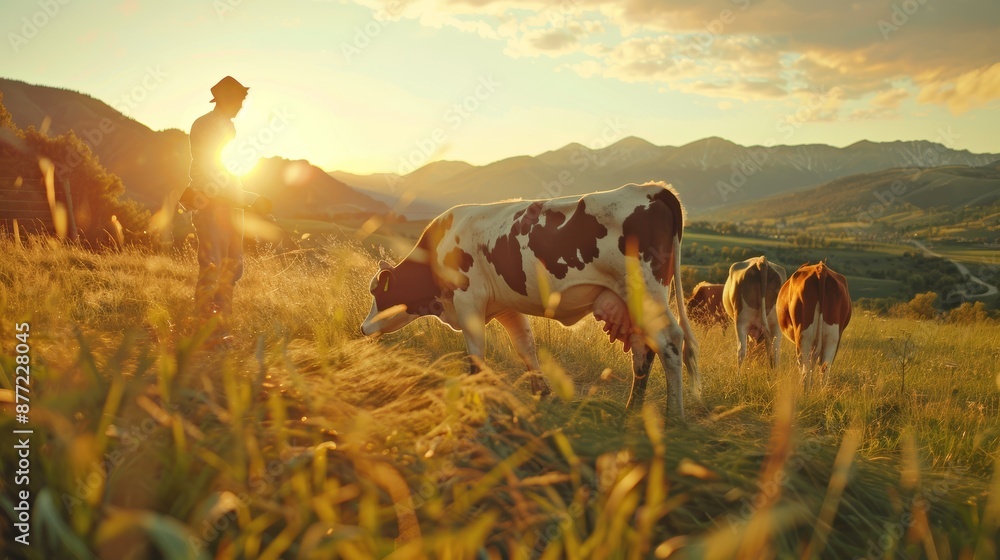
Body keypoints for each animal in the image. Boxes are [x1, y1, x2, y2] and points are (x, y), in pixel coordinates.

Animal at [360, 182, 701, 419]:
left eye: (378, 292)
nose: (362, 329)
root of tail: (650, 189)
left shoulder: (468, 300)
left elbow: (476, 353)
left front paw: (476, 391)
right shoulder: (506, 306)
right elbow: (525, 346)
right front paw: (541, 390)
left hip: (648, 294)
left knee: (671, 343)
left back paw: (675, 417)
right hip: (631, 304)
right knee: (644, 351)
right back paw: (632, 410)